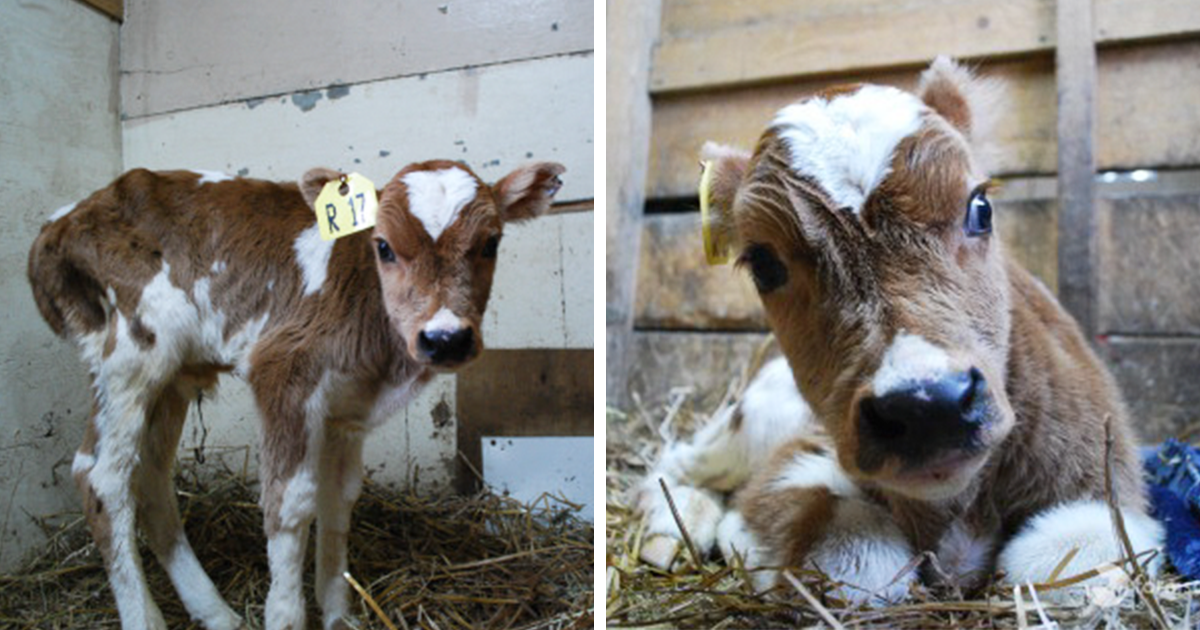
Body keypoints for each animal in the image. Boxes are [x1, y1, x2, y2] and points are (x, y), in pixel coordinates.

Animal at [27, 159, 564, 629]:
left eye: (491, 242)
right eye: (384, 246)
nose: (445, 337)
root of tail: (60, 224)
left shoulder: (347, 411)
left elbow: (339, 498)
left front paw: (339, 612)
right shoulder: (282, 372)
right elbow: (291, 502)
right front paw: (285, 616)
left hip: (173, 376)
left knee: (152, 476)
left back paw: (217, 613)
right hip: (131, 355)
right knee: (101, 476)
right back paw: (146, 617)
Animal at [636, 57, 1161, 603]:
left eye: (980, 208)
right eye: (763, 263)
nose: (928, 407)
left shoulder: (1104, 494)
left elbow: (1065, 567)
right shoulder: (801, 458)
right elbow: (853, 556)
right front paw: (742, 534)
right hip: (754, 422)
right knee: (674, 460)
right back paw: (674, 529)